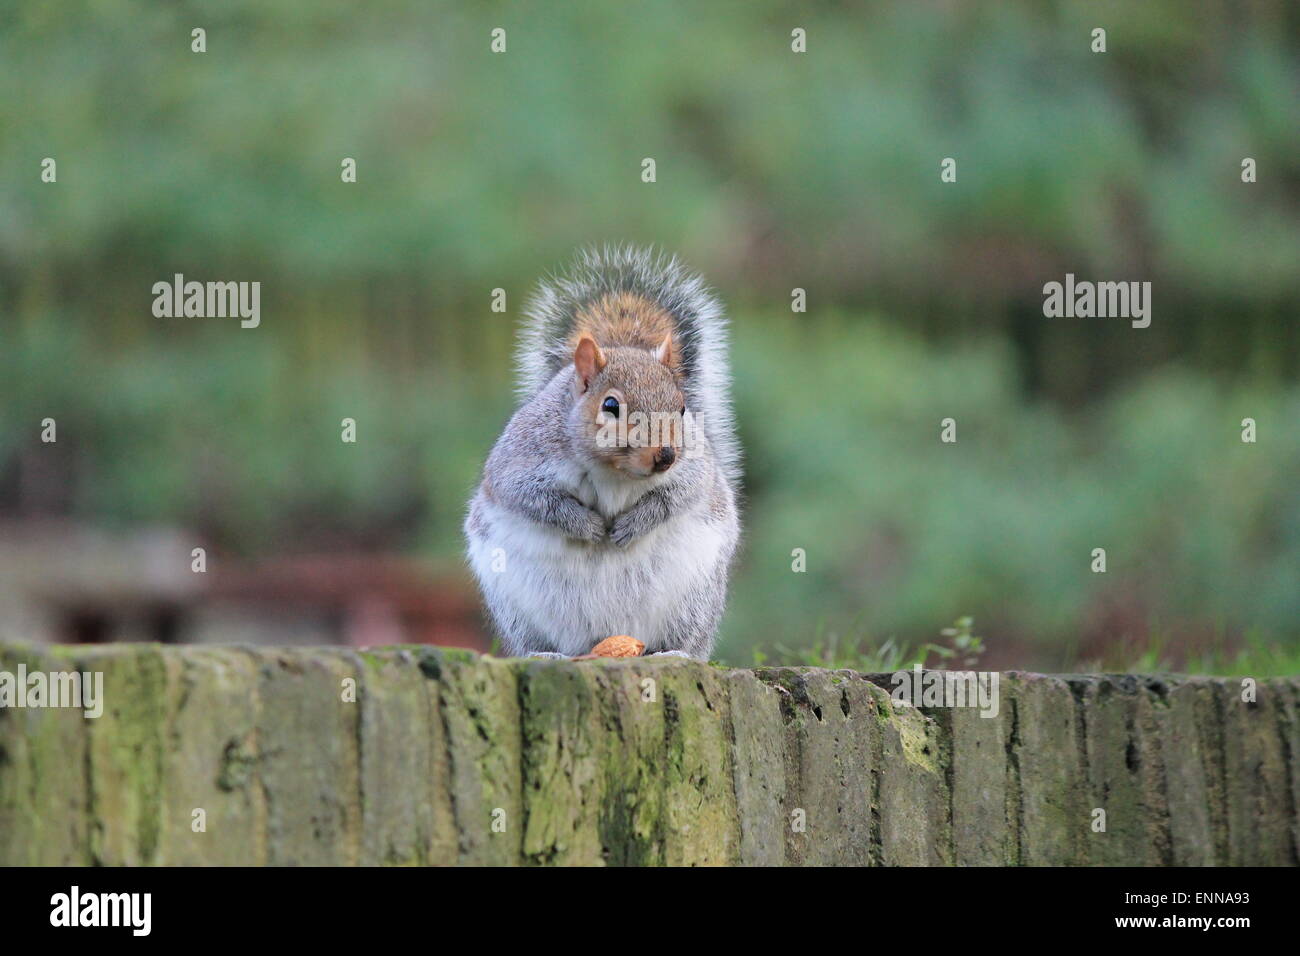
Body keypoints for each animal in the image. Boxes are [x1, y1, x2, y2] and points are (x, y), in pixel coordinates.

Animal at [464, 246, 741, 660]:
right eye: (610, 406)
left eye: (681, 409)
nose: (665, 456)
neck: (615, 472)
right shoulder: (521, 459)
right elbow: (532, 498)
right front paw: (587, 525)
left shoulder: (695, 466)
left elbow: (679, 494)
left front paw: (633, 524)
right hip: (514, 606)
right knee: (533, 640)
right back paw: (544, 654)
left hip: (695, 600)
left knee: (688, 639)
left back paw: (674, 653)